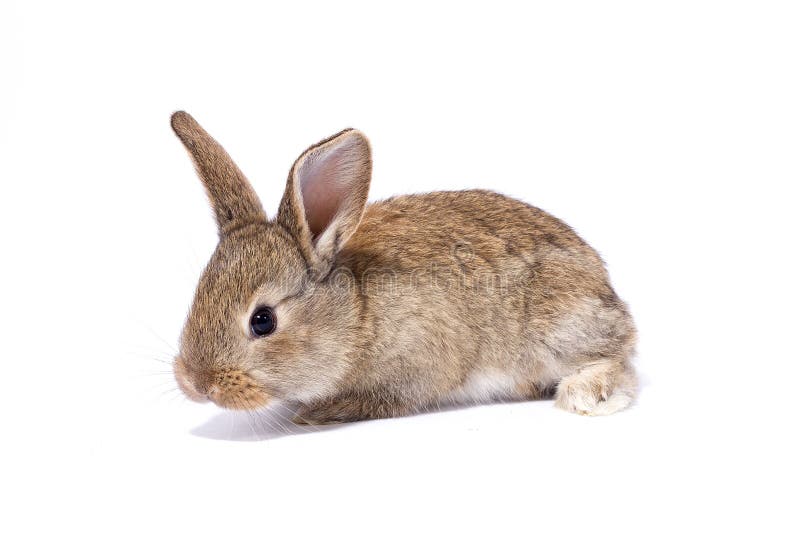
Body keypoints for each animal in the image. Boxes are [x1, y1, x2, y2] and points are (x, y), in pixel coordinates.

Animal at [170, 111, 637, 423]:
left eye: (263, 320)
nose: (196, 383)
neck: (357, 314)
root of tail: (609, 293)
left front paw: (319, 413)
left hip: (561, 325)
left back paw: (584, 395)